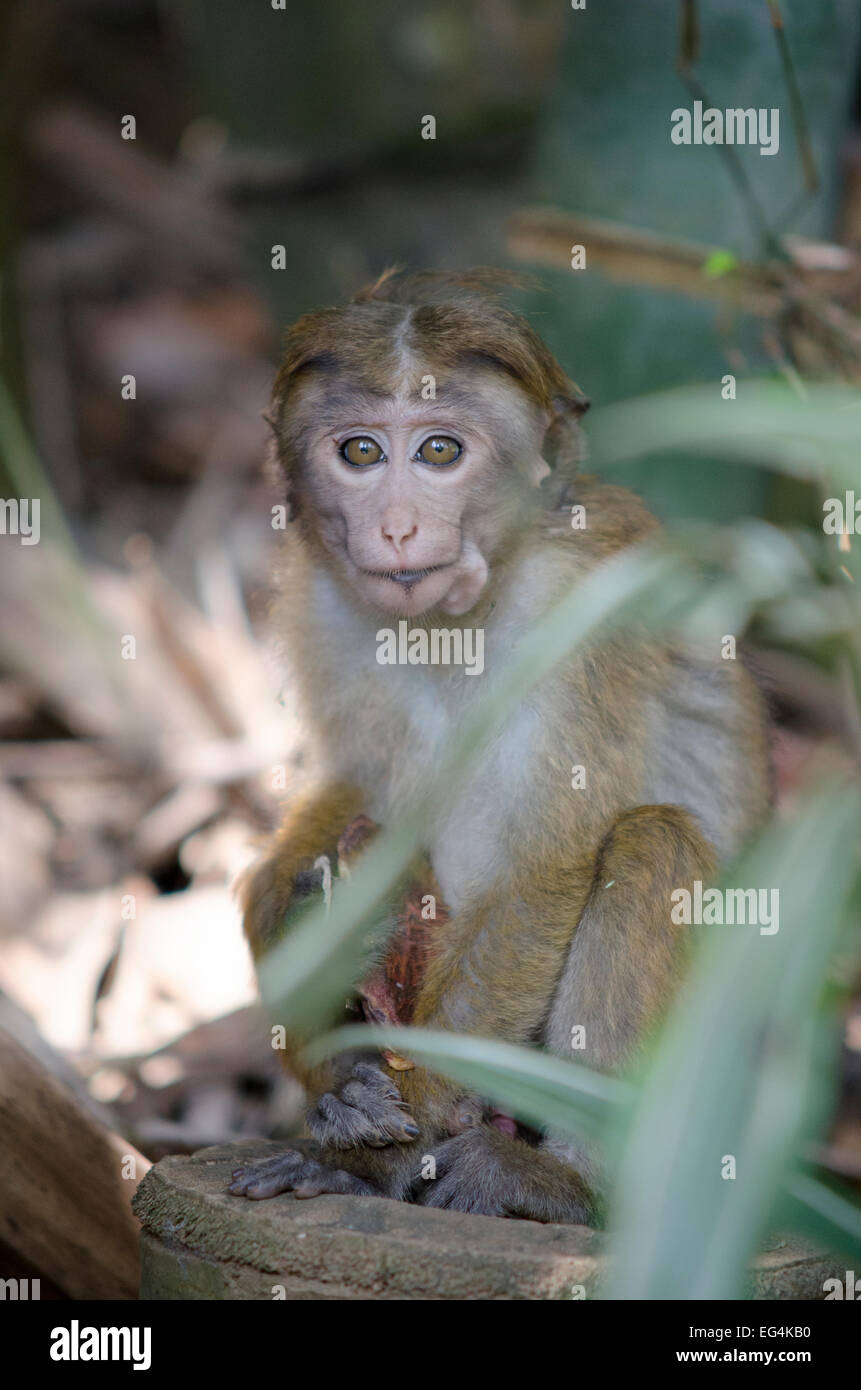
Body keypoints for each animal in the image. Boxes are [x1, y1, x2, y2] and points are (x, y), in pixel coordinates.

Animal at [228, 268, 771, 1222]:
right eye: (360, 453)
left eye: (440, 452)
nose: (397, 527)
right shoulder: (324, 605)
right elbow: (356, 791)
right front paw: (332, 1034)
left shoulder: (582, 601)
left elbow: (542, 869)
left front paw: (380, 1156)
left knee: (652, 842)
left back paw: (566, 1184)